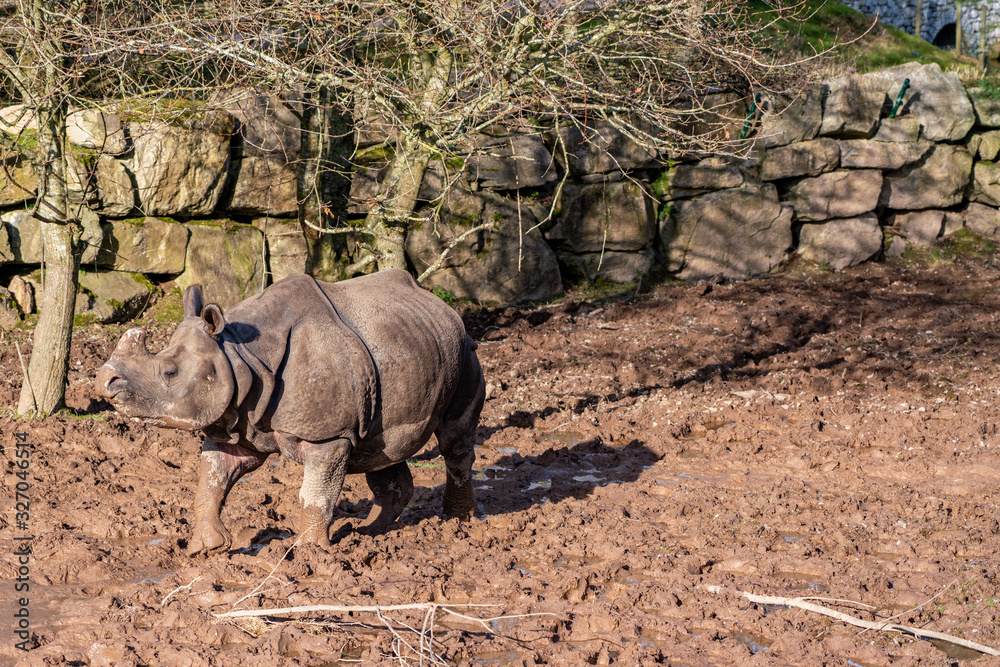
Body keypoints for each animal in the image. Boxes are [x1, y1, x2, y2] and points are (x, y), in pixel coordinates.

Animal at [95, 270, 485, 556]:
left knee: (454, 440)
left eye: (169, 372)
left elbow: (316, 496)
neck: (240, 355)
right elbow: (211, 480)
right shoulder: (237, 421)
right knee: (382, 448)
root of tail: (442, 304)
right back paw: (369, 533)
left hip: (465, 350)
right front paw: (205, 549)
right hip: (405, 352)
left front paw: (307, 554)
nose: (104, 381)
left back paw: (456, 523)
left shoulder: (328, 435)